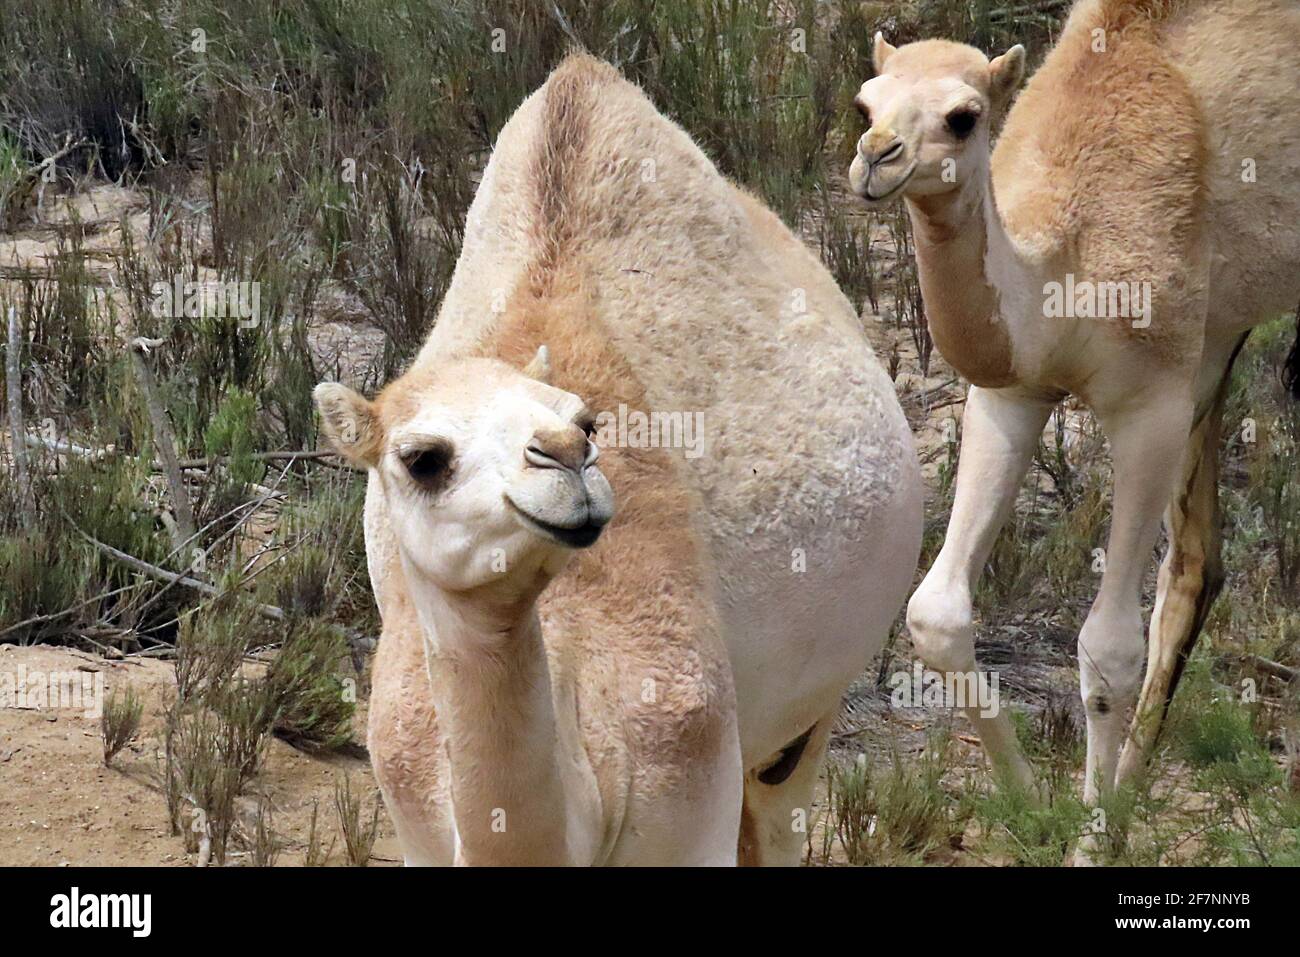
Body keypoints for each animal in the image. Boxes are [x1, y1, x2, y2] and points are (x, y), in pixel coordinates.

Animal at [317, 54, 923, 865]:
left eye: (584, 421)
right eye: (421, 458)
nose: (565, 459)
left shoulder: (687, 794)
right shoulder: (415, 813)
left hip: (803, 720)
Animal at [848, 0, 1300, 833]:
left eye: (964, 116)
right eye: (866, 103)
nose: (876, 157)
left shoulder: (1148, 405)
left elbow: (1109, 648)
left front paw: (1089, 834)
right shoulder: (1011, 392)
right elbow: (935, 613)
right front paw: (1037, 808)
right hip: (1216, 340)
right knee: (1197, 559)